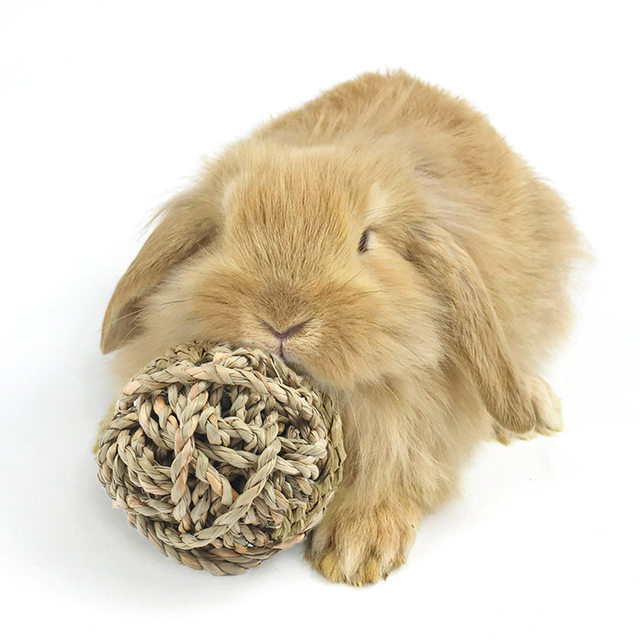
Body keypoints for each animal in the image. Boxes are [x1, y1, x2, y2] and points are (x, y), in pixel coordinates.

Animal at [100, 70, 583, 585]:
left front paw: (355, 551)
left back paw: (536, 412)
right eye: (225, 232)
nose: (282, 320)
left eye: (366, 241)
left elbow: (392, 473)